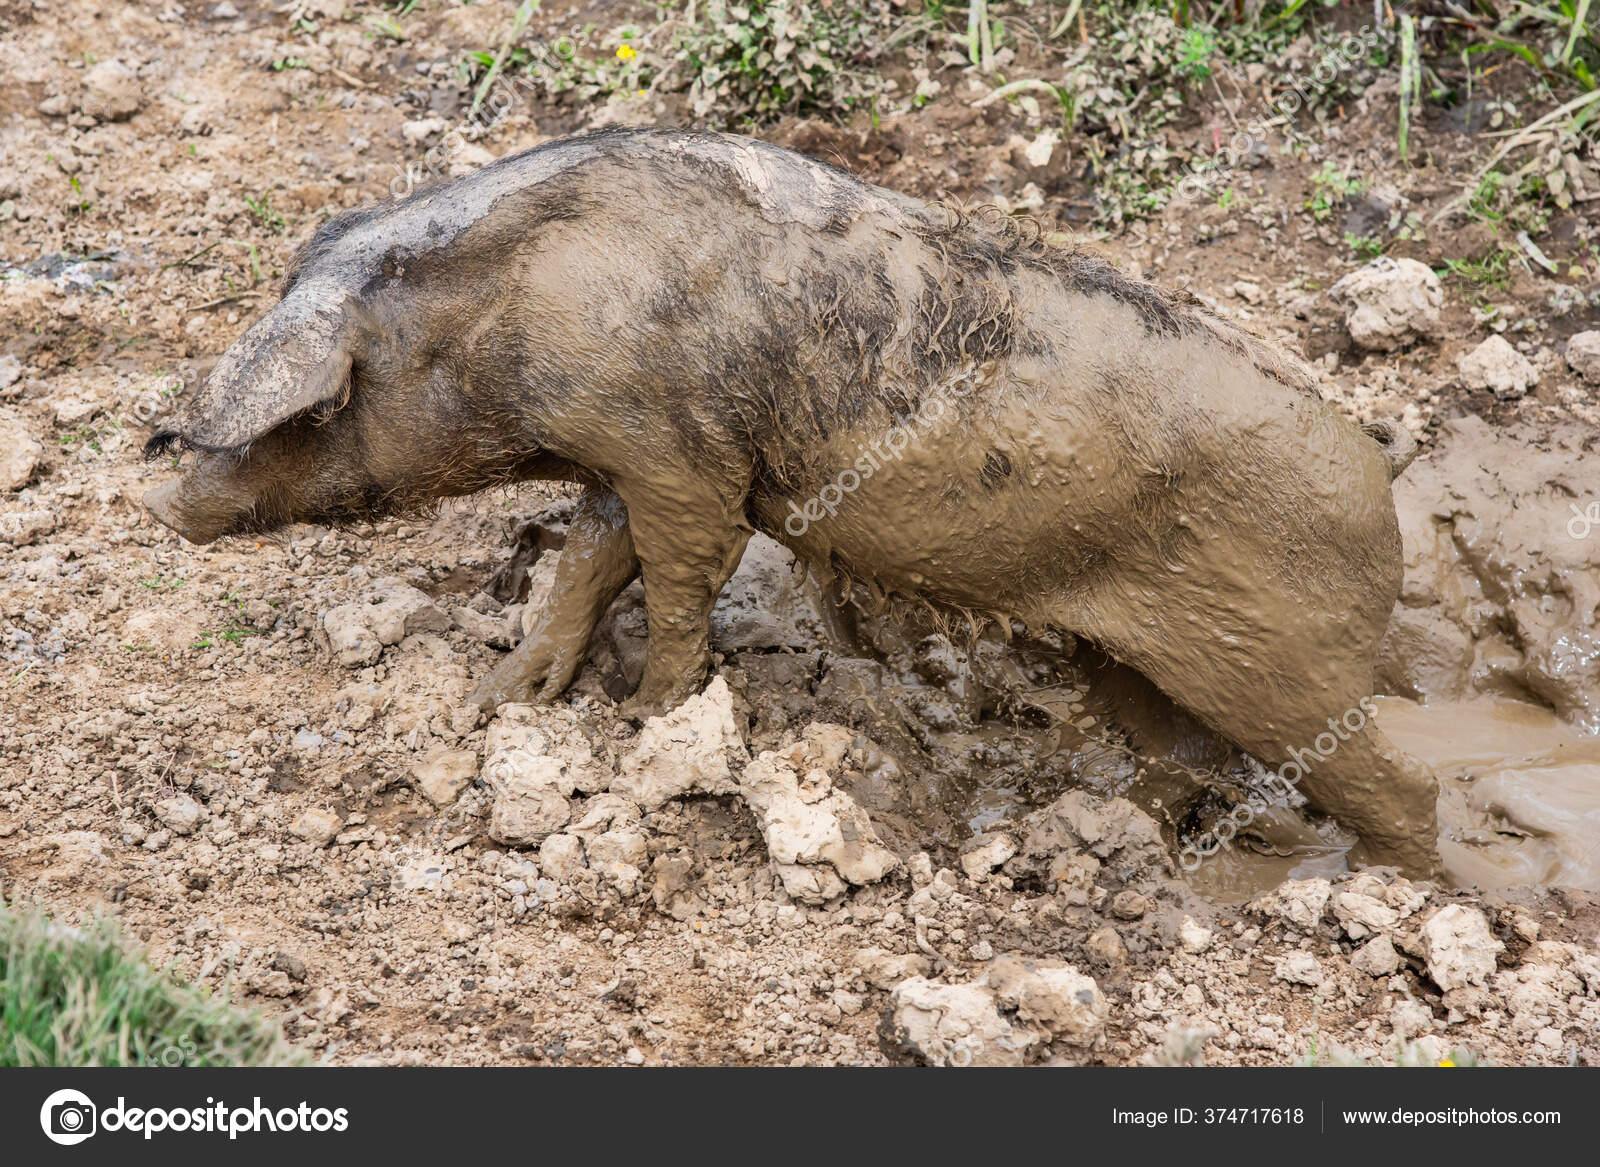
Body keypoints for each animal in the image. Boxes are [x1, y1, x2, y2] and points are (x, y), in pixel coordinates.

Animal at [143, 127, 1440, 876]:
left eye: (310, 411)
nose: (164, 504)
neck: (505, 317)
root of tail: (1377, 473)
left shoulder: (682, 461)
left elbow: (680, 581)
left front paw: (650, 724)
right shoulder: (622, 462)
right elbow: (586, 566)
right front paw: (501, 701)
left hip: (1286, 662)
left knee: (1407, 786)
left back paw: (1385, 888)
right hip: (1141, 658)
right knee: (1177, 752)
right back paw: (1157, 853)